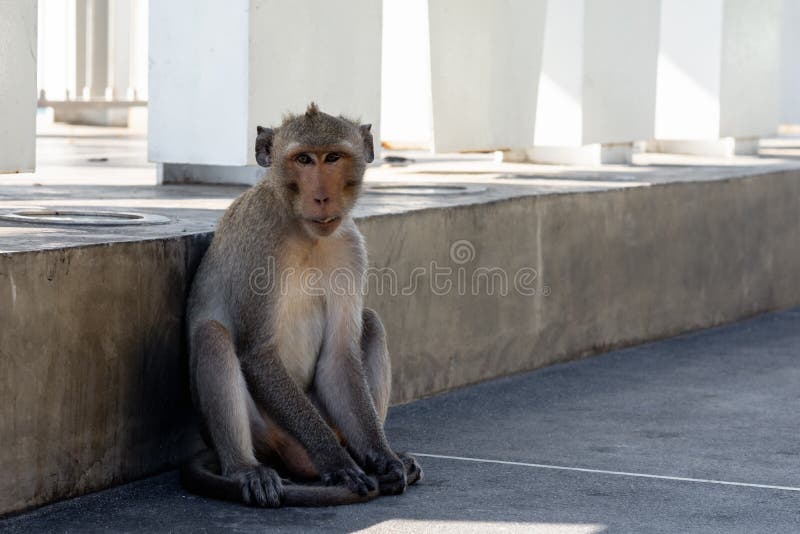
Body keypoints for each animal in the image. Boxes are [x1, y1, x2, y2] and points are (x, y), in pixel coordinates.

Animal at [181, 103, 422, 507]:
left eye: (333, 158)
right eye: (304, 159)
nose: (322, 197)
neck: (303, 230)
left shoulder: (350, 248)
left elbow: (339, 357)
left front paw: (383, 458)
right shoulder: (261, 241)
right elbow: (258, 354)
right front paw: (337, 463)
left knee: (370, 322)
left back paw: (372, 453)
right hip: (268, 432)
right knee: (212, 336)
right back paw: (246, 469)